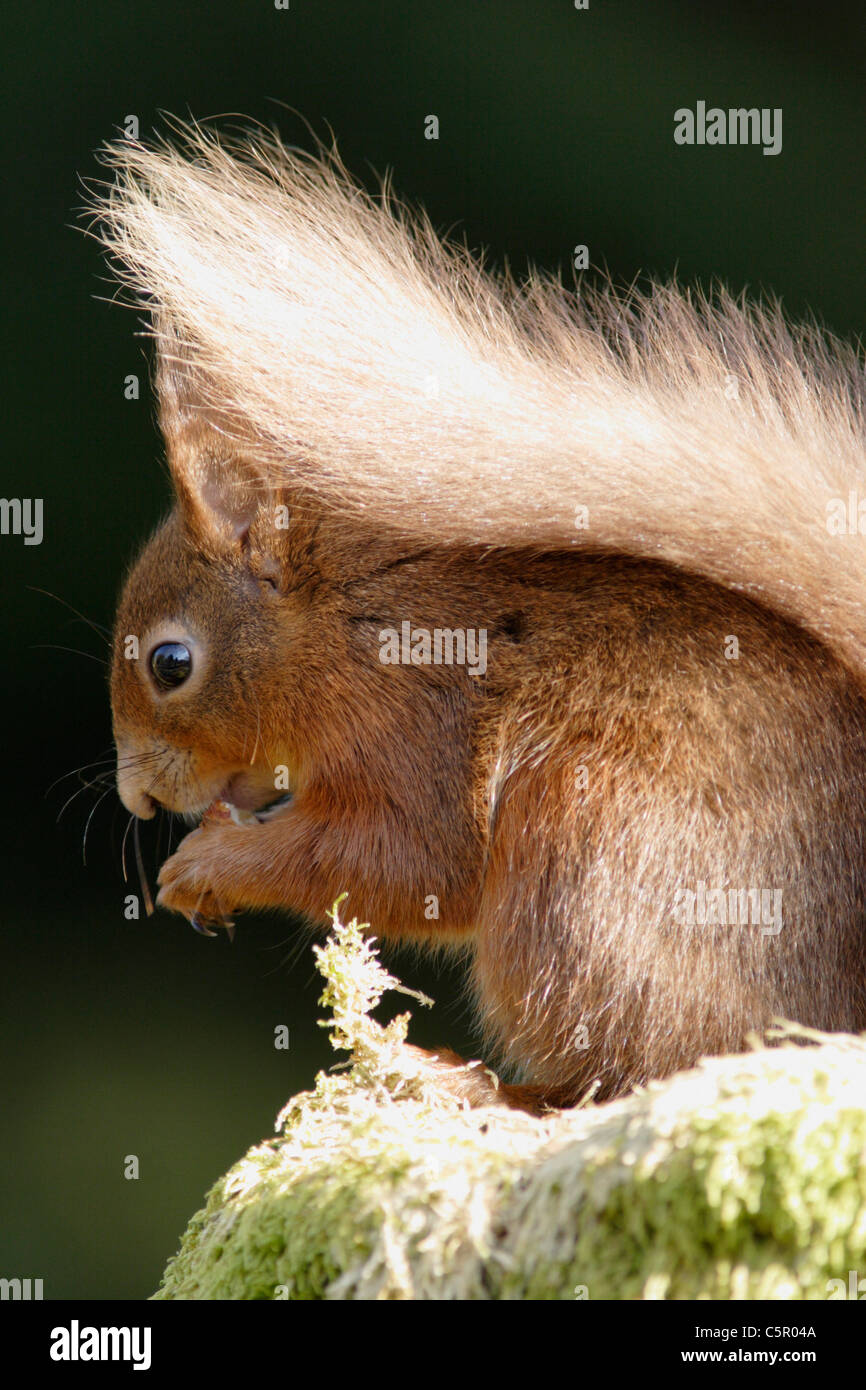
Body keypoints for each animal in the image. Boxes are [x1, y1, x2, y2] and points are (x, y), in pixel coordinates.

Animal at [93, 123, 866, 1113]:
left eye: (170, 664)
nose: (136, 798)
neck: (347, 623)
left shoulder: (420, 724)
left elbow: (409, 860)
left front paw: (206, 868)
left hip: (584, 860)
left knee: (628, 1069)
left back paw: (465, 1081)